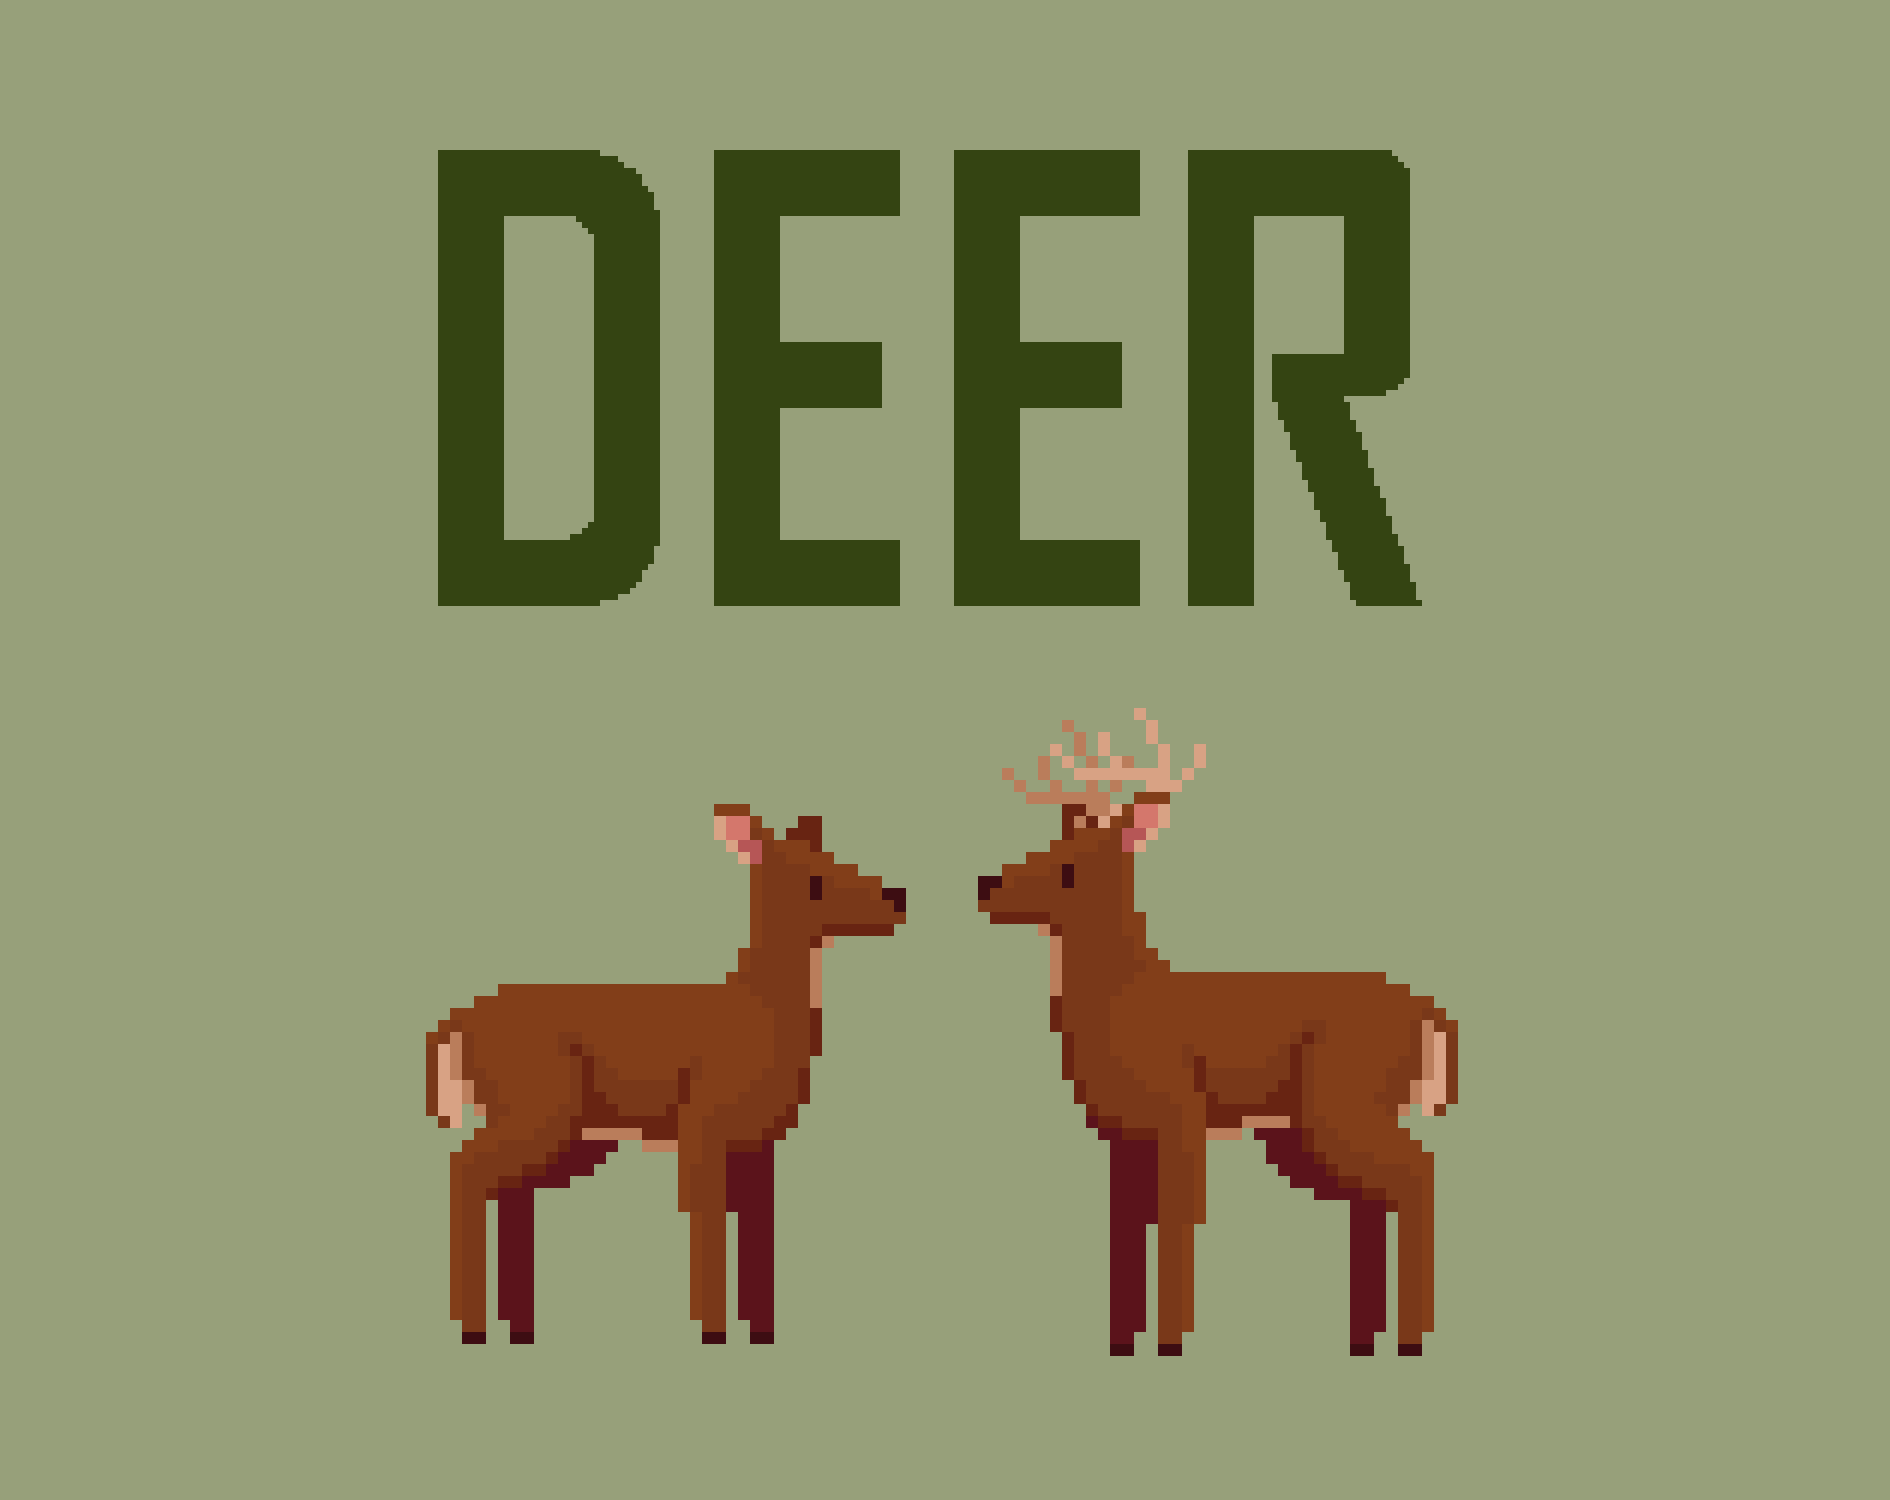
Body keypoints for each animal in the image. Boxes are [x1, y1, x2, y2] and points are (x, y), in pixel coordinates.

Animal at [425, 806, 906, 1345]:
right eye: (815, 881)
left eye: (842, 859)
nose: (897, 898)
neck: (761, 1013)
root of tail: (457, 1023)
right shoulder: (702, 1127)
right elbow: (706, 1225)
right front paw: (712, 1332)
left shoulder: (759, 1146)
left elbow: (759, 1236)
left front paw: (761, 1334)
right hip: (538, 1108)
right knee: (464, 1170)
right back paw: (472, 1328)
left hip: (567, 1133)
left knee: (507, 1193)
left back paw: (519, 1330)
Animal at [977, 712, 1457, 1357]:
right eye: (1045, 845)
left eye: (1069, 868)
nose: (986, 884)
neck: (1122, 1001)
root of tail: (1426, 1011)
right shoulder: (1122, 1135)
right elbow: (1124, 1232)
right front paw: (1122, 1344)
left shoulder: (1181, 1114)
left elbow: (1180, 1221)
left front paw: (1171, 1343)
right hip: (1303, 1130)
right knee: (1374, 1199)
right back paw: (1362, 1340)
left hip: (1344, 1100)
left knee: (1419, 1174)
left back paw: (1409, 1340)